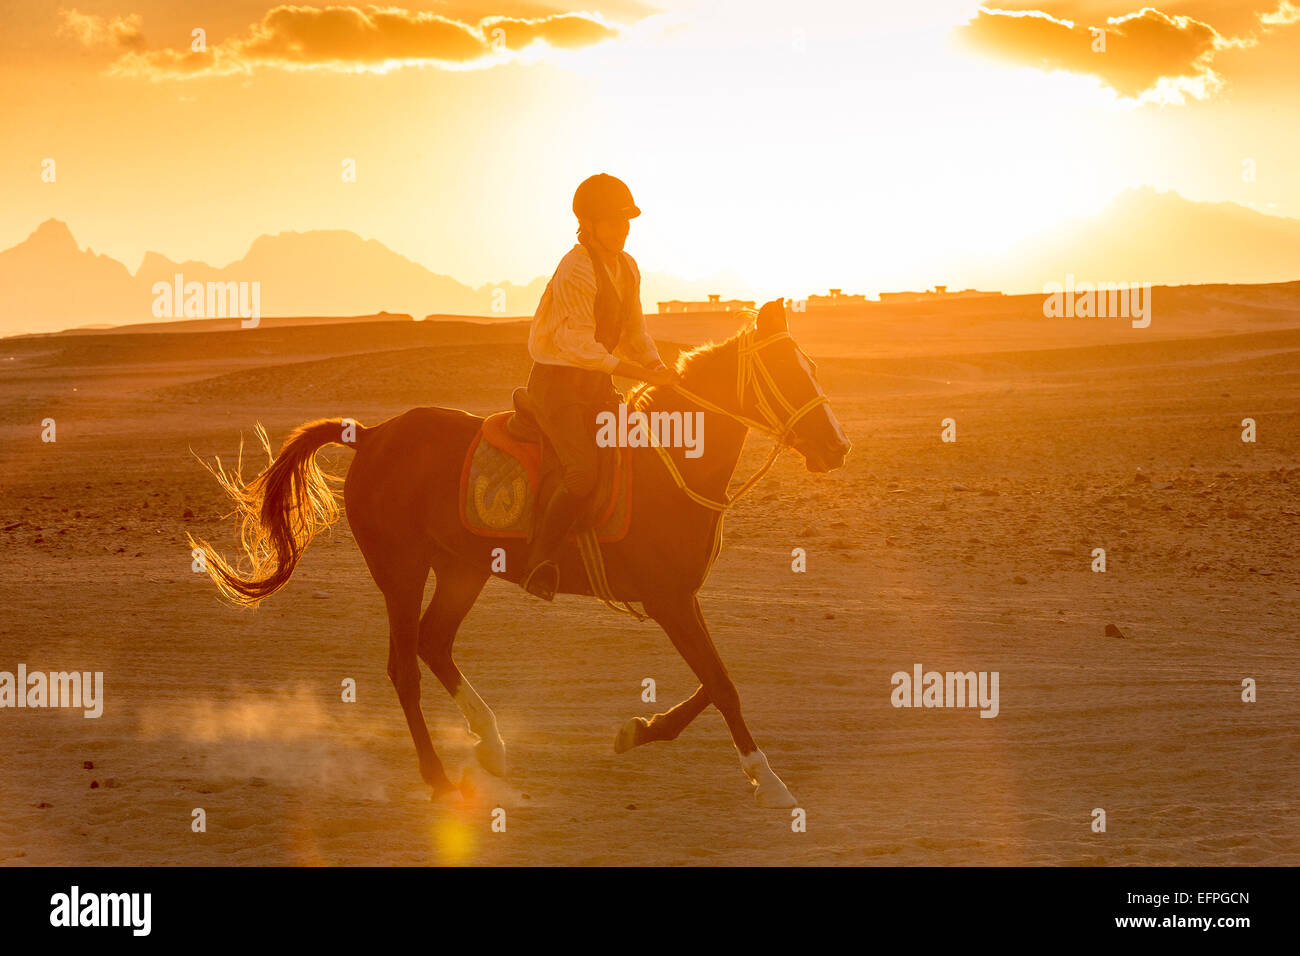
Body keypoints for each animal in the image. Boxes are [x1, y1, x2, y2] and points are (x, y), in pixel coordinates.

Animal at [190, 298, 851, 807]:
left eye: (814, 366)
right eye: (787, 373)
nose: (837, 448)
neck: (671, 463)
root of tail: (373, 435)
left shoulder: (680, 597)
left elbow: (715, 681)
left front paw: (639, 730)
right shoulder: (668, 599)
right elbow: (722, 683)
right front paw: (770, 782)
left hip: (463, 570)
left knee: (434, 643)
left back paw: (491, 743)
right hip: (401, 570)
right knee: (405, 665)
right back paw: (438, 777)